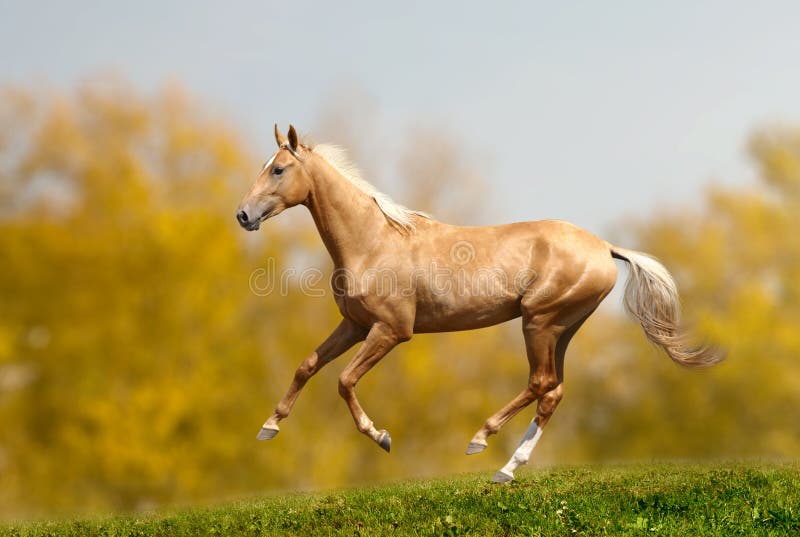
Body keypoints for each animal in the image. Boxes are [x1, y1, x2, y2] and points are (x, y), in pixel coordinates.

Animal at [236, 124, 723, 483]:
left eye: (279, 169)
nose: (243, 215)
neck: (374, 242)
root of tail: (605, 247)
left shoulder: (392, 331)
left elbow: (343, 380)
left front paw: (381, 436)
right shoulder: (355, 325)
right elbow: (307, 366)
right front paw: (268, 427)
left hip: (538, 322)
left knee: (540, 383)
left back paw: (481, 439)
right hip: (562, 328)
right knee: (553, 392)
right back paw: (507, 471)